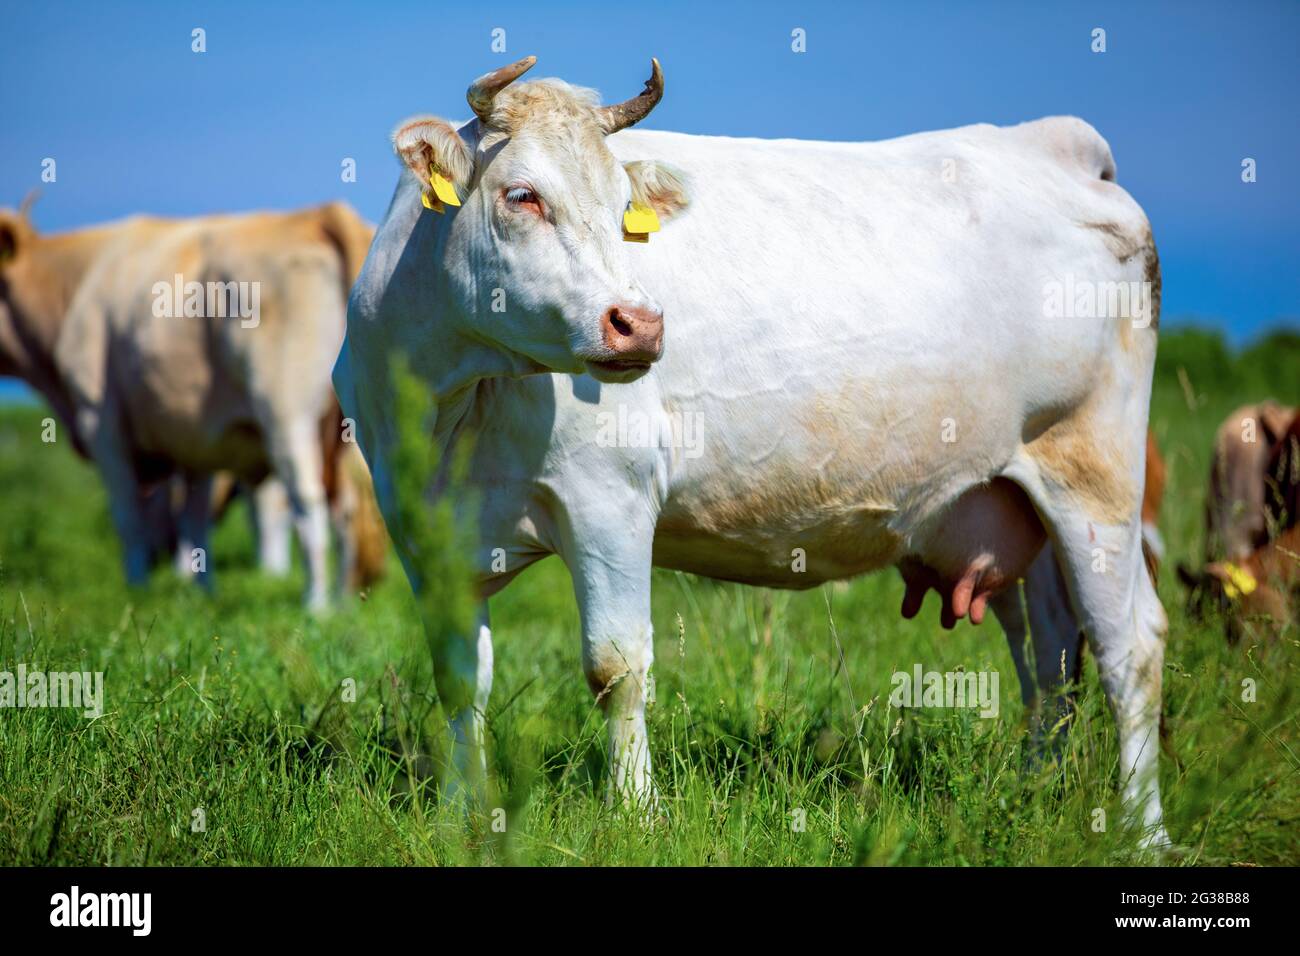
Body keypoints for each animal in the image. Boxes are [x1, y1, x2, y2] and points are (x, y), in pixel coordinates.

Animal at [0, 200, 375, 608]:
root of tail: (319, 214)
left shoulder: (101, 422)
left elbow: (129, 517)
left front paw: (137, 591)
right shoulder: (198, 440)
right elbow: (194, 520)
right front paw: (201, 594)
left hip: (286, 417)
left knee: (307, 503)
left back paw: (315, 605)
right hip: (343, 434)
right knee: (346, 509)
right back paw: (343, 603)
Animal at [333, 57, 1170, 846]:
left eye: (622, 211)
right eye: (521, 195)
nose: (640, 322)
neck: (459, 395)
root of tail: (1055, 145)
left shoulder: (609, 499)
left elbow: (616, 667)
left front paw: (639, 815)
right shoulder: (422, 528)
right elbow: (457, 679)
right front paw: (459, 815)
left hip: (1095, 475)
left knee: (1129, 647)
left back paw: (1144, 829)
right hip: (1007, 502)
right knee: (1050, 652)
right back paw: (1034, 790)